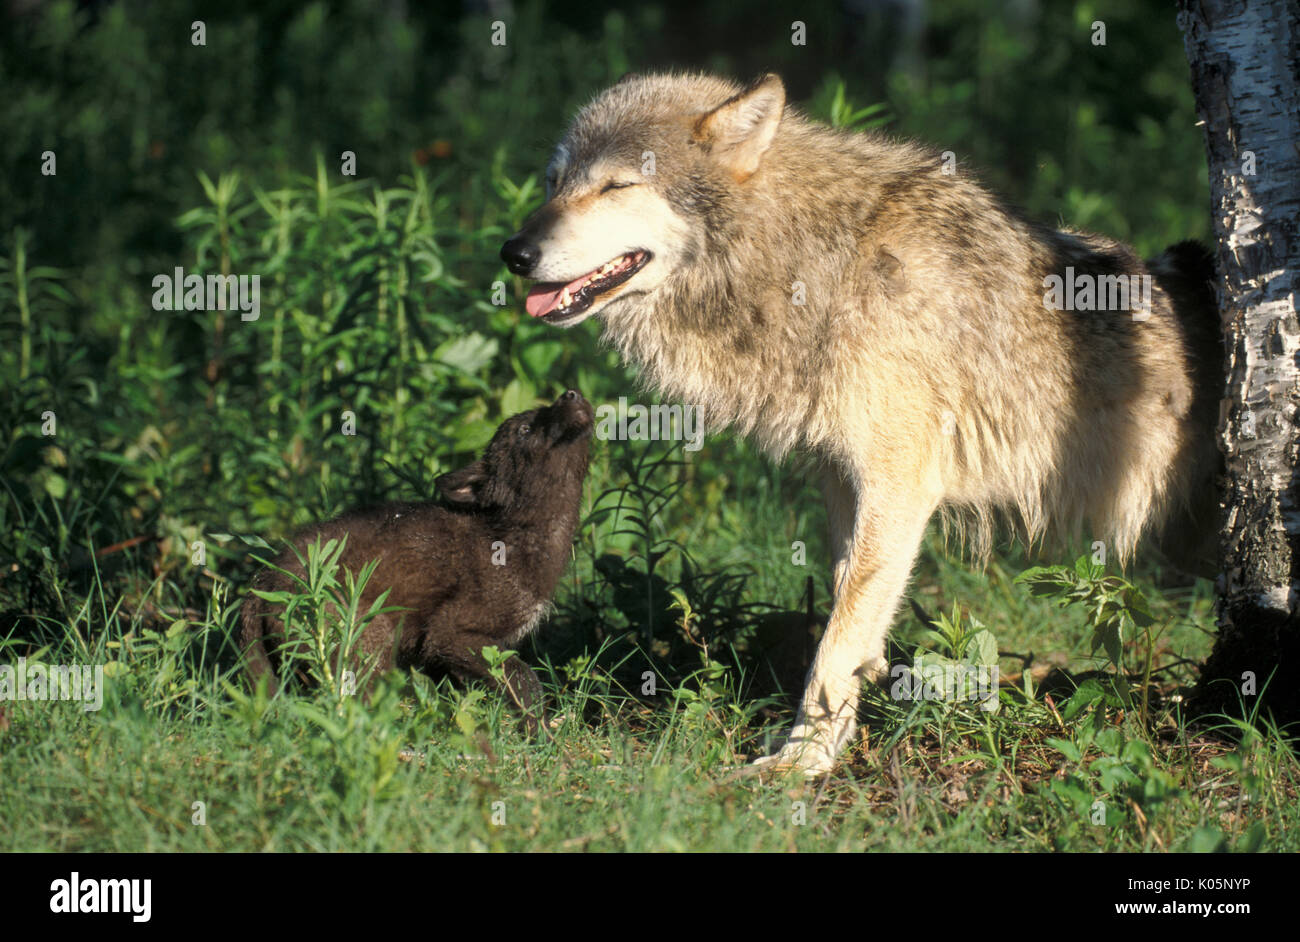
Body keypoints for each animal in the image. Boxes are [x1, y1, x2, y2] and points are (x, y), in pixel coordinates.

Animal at [240, 390, 594, 730]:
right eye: (525, 429)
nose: (571, 394)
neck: (518, 537)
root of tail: (262, 578)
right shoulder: (448, 631)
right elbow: (524, 678)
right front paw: (540, 733)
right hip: (366, 634)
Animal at [501, 72, 1220, 774]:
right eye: (553, 182)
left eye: (616, 185)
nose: (514, 251)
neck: (814, 261)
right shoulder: (846, 480)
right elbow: (853, 605)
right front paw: (849, 713)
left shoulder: (900, 484)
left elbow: (836, 642)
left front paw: (802, 762)